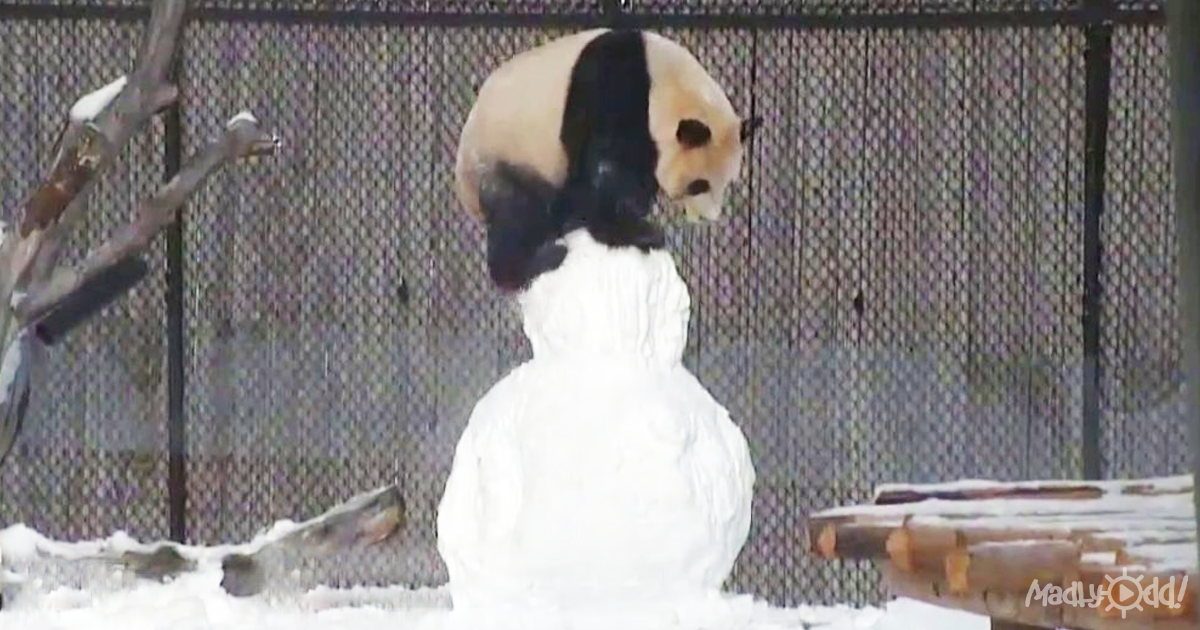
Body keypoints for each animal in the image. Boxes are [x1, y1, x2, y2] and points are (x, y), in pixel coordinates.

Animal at [453, 28, 763, 293]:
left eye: (726, 183)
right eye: (699, 185)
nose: (710, 218)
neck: (662, 81)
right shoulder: (610, 89)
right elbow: (602, 170)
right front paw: (636, 232)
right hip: (505, 157)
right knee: (517, 211)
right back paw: (535, 262)